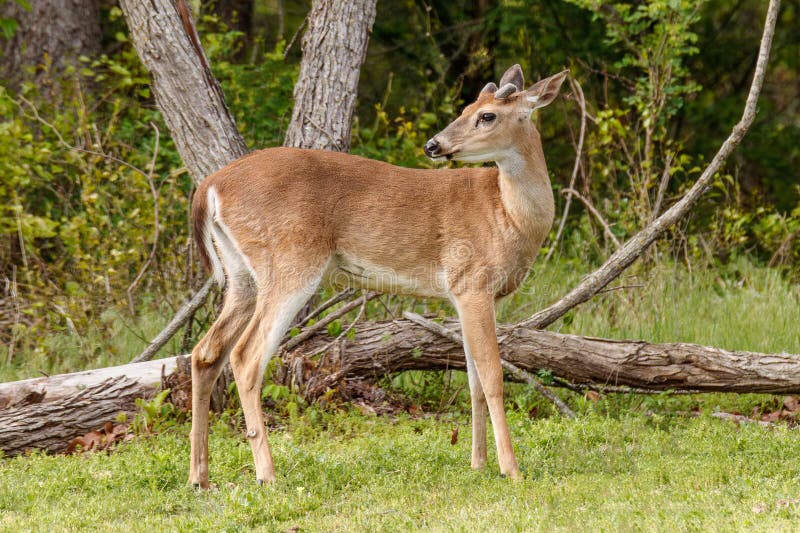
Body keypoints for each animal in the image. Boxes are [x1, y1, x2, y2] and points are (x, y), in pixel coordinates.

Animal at [188, 64, 568, 488]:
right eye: (468, 108)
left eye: (486, 114)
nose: (433, 145)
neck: (508, 215)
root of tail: (210, 187)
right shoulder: (471, 281)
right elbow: (492, 377)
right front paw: (511, 469)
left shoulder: (468, 296)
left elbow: (472, 382)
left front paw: (478, 464)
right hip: (289, 262)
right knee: (245, 356)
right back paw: (267, 474)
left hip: (240, 275)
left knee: (205, 352)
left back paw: (199, 477)